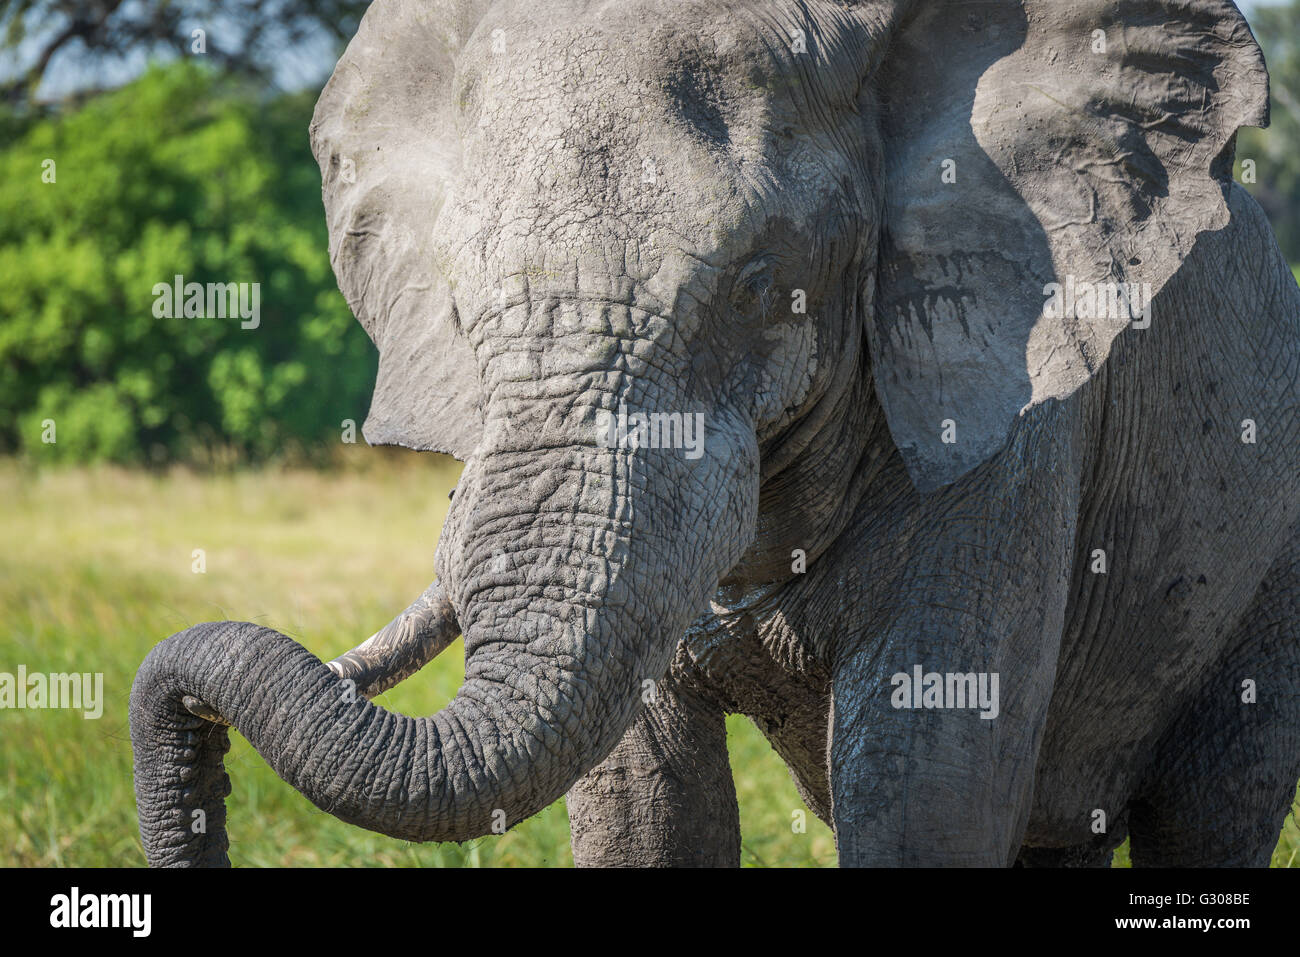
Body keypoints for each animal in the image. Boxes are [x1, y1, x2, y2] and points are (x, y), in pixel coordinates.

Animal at [130, 0, 1300, 867]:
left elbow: (924, 789)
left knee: (1211, 807)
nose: (194, 731)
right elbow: (643, 806)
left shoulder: (1008, 400)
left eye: (754, 284)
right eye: (459, 313)